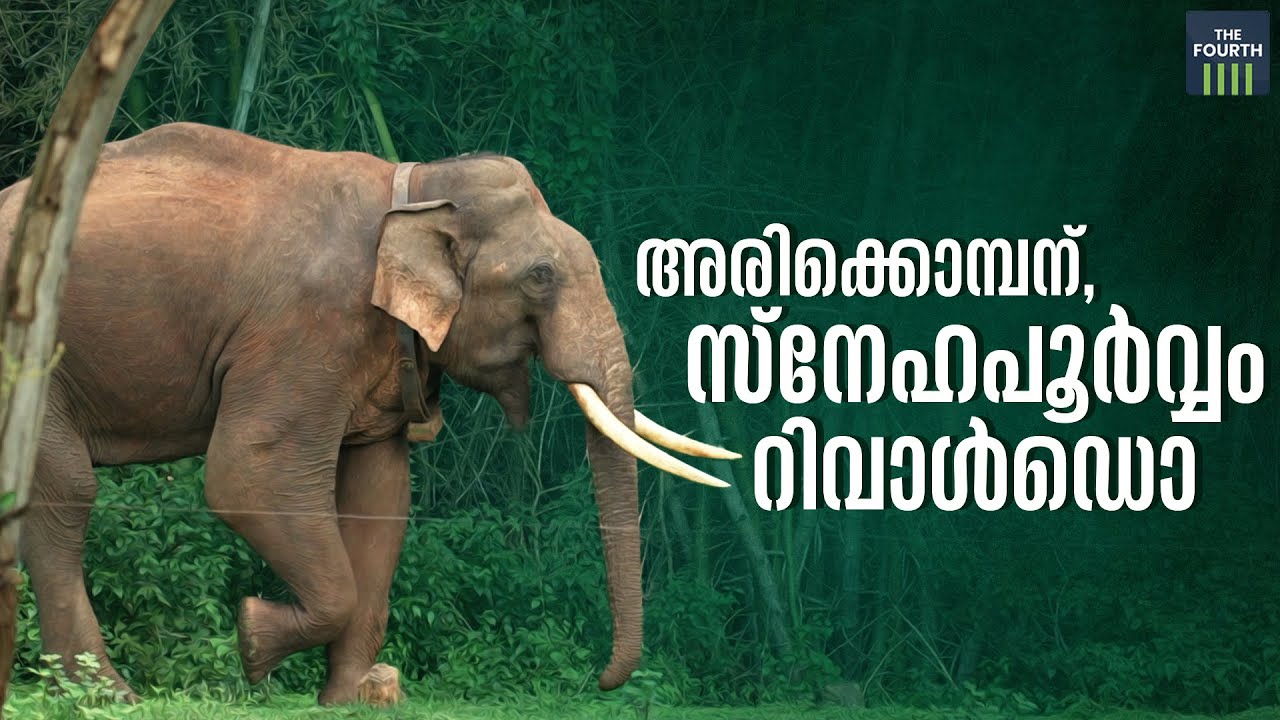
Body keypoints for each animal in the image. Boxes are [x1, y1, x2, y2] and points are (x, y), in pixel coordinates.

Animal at [0, 122, 737, 704]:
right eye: (540, 278)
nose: (600, 681)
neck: (414, 188)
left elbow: (380, 496)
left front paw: (356, 696)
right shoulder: (307, 327)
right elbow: (247, 476)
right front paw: (253, 640)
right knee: (66, 490)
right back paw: (107, 695)